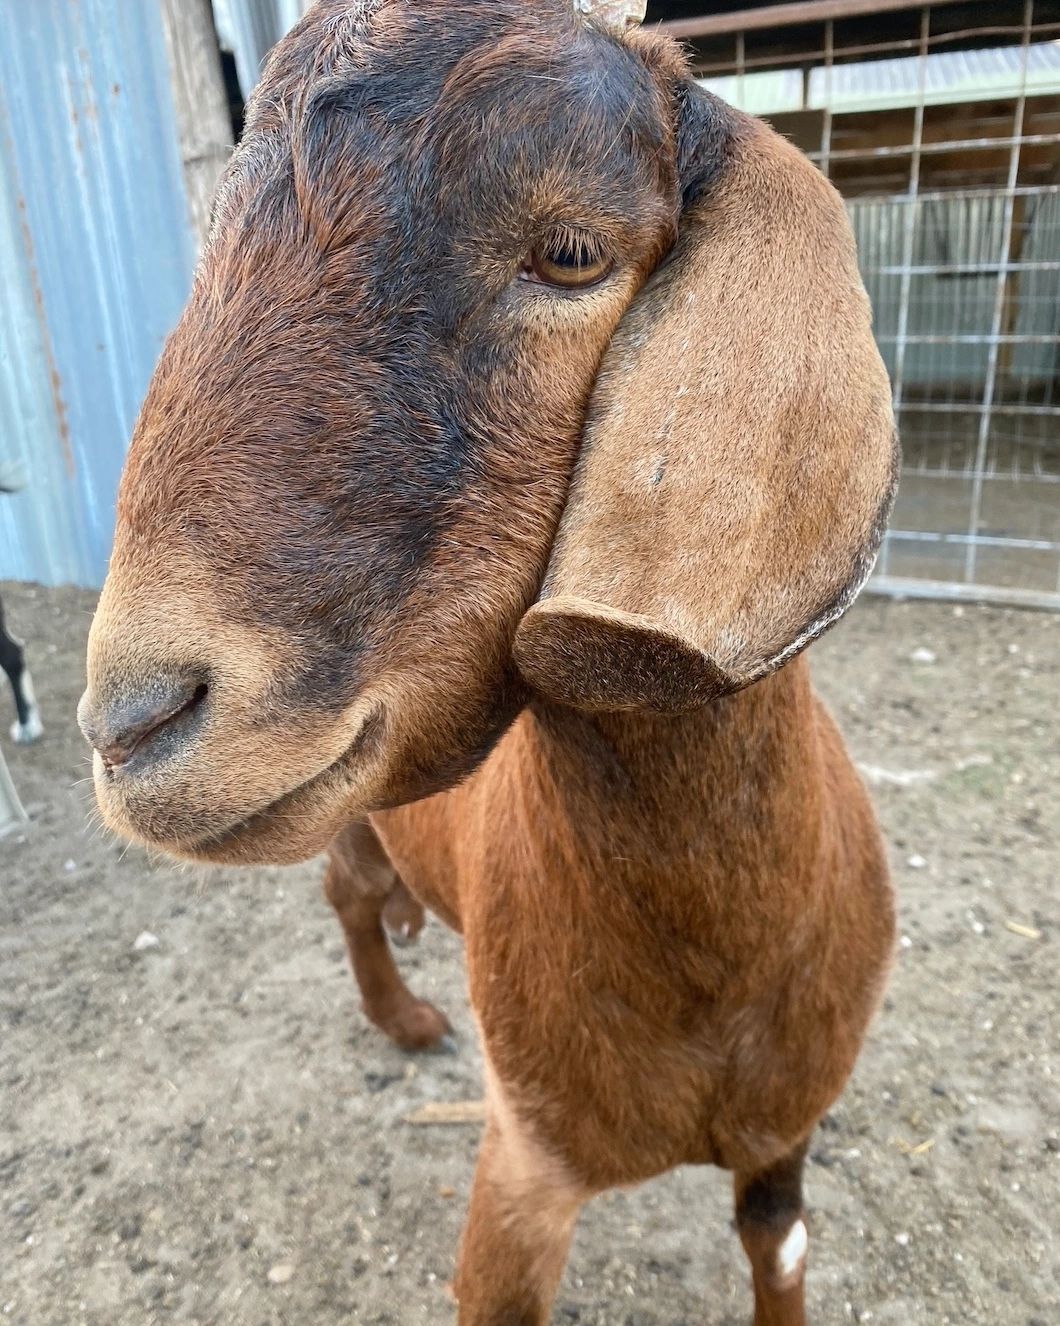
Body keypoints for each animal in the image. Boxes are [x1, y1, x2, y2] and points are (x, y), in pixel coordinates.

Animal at [78, 2, 898, 1321]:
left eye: (568, 251)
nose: (136, 722)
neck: (715, 969)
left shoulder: (784, 1152)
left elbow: (778, 1261)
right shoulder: (524, 1165)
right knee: (349, 893)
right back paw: (406, 1020)